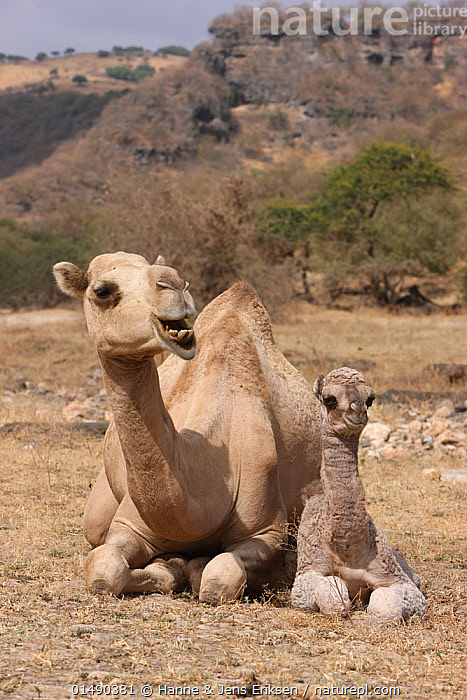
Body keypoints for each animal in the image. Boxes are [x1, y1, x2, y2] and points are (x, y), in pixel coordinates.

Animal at [53, 252, 321, 604]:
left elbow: (218, 579)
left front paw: (190, 567)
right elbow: (104, 569)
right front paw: (167, 569)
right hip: (96, 513)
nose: (174, 283)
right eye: (102, 291)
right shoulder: (129, 525)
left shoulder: (268, 533)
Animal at [292, 368, 426, 621]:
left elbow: (386, 605)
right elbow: (335, 597)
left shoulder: (399, 579)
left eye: (370, 399)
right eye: (330, 399)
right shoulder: (306, 575)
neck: (347, 550)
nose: (358, 412)